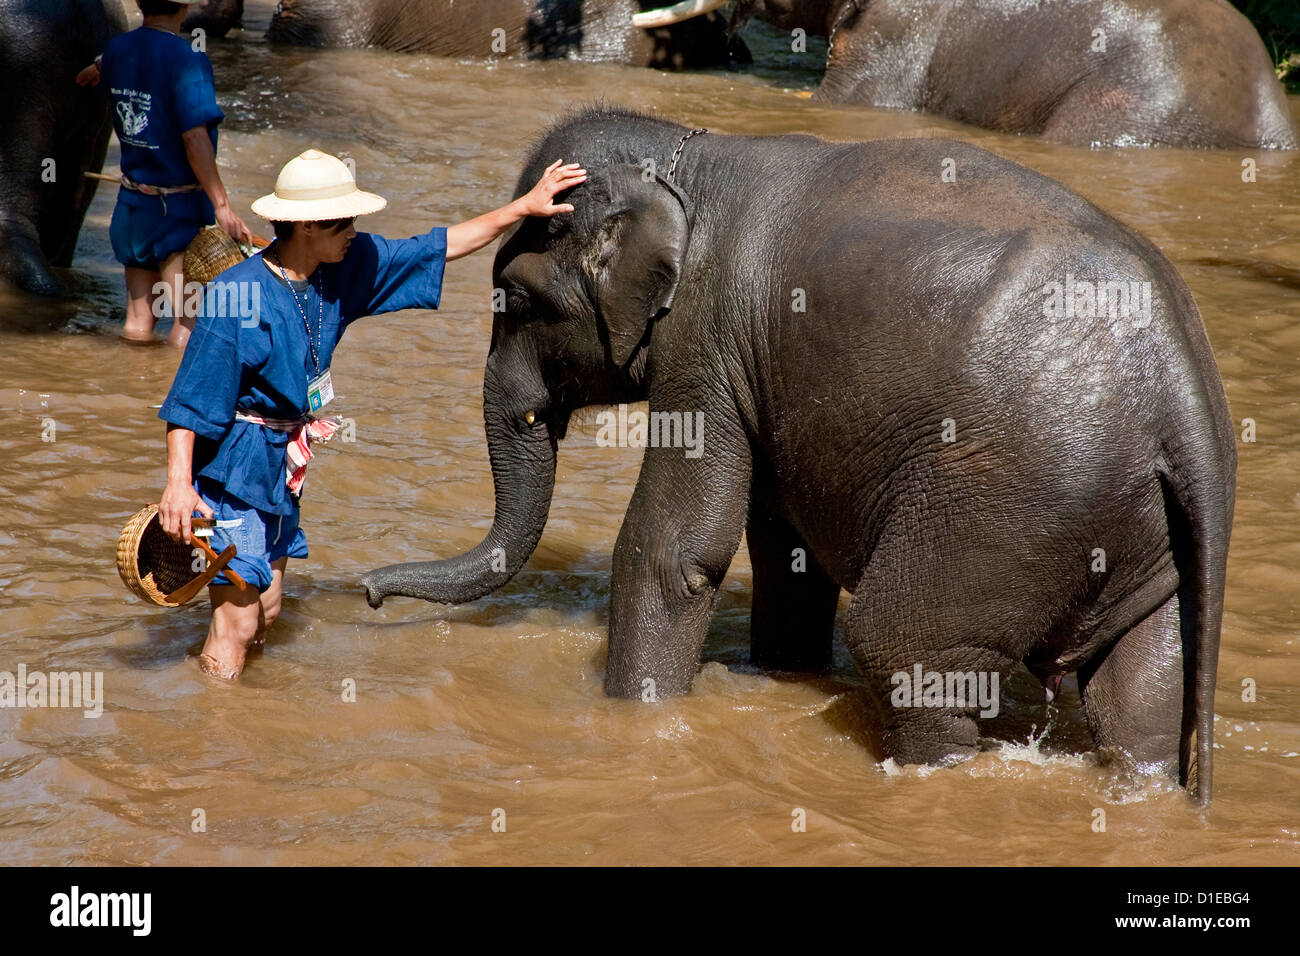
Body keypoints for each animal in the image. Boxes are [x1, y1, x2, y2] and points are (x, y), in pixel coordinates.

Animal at [362, 106, 1236, 803]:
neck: (688, 157)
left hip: (1009, 504)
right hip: (1141, 530)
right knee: (1138, 691)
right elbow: (784, 549)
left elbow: (674, 549)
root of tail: (1183, 389)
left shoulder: (705, 340)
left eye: (516, 299)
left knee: (901, 644)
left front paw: (636, 721)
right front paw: (776, 675)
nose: (367, 592)